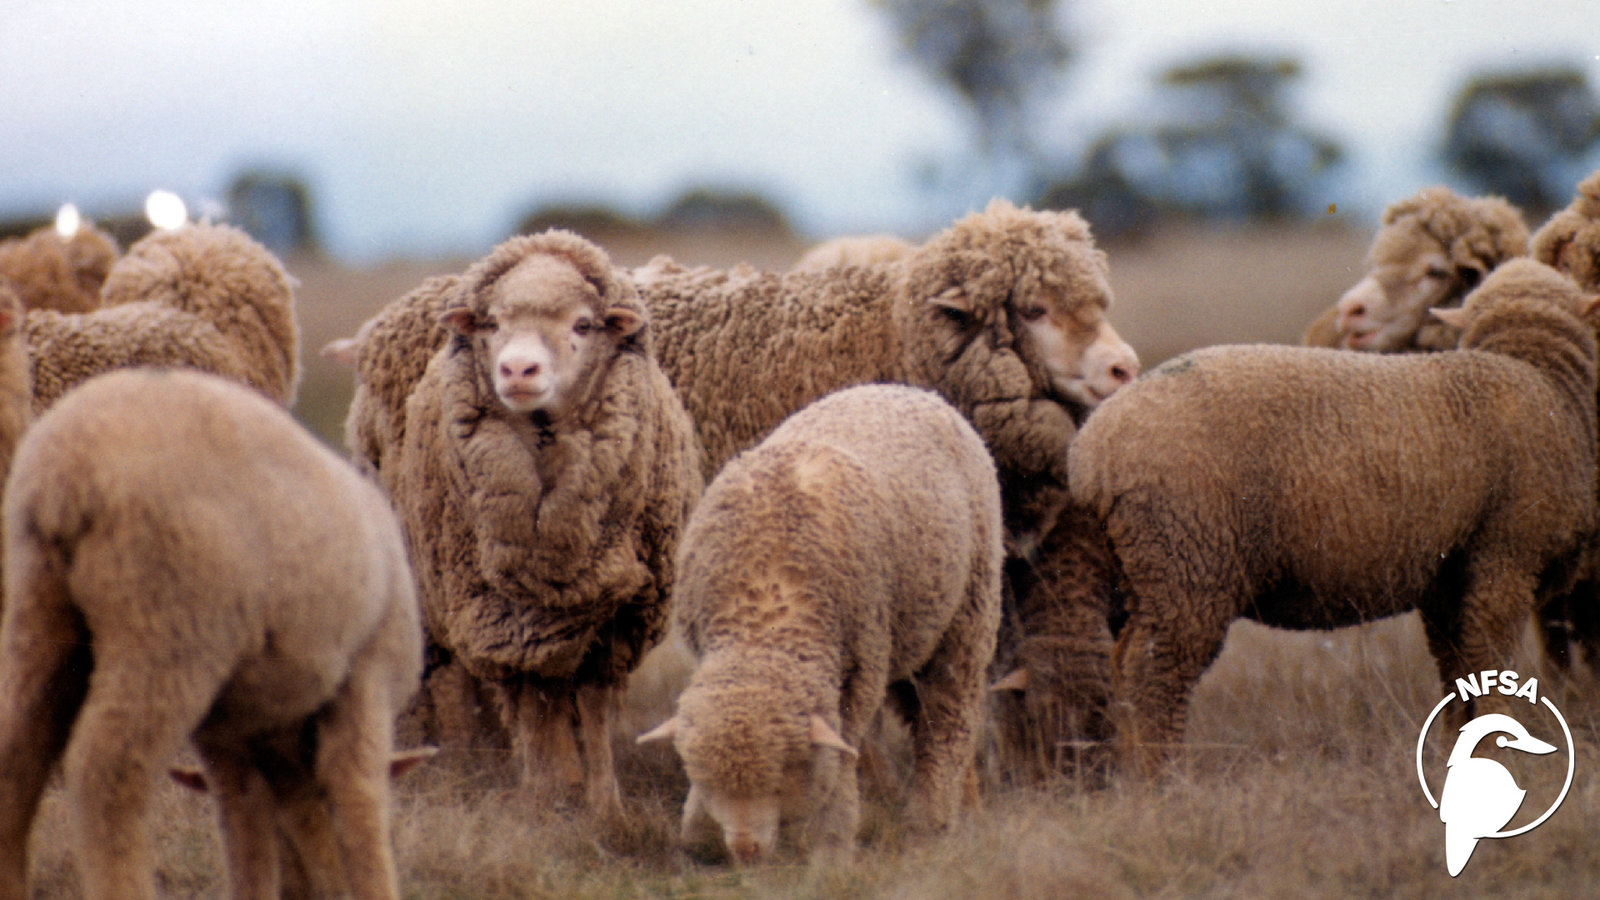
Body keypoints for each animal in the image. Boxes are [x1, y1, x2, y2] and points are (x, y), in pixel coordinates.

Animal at [0, 368, 422, 900]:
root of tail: (67, 474)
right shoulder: (368, 675)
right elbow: (357, 797)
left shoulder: (235, 729)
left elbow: (246, 825)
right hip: (170, 625)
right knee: (107, 774)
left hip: (40, 608)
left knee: (15, 757)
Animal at [389, 230, 702, 817]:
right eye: (492, 324)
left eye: (582, 325)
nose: (517, 370)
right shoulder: (497, 617)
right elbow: (530, 707)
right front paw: (539, 800)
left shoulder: (612, 615)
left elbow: (594, 706)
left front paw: (605, 804)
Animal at [637, 384, 1003, 864]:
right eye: (708, 782)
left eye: (780, 779)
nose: (746, 851)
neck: (764, 616)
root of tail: (906, 389)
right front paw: (697, 829)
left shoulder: (862, 662)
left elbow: (843, 752)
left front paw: (833, 842)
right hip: (915, 625)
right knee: (925, 716)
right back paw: (968, 805)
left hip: (968, 611)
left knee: (950, 716)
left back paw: (932, 822)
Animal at [1070, 258, 1598, 776]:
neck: (1544, 384)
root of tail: (1092, 454)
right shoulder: (1505, 556)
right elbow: (1488, 660)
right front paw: (1494, 752)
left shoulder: (1449, 577)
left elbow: (1456, 669)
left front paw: (1454, 749)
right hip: (1188, 561)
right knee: (1155, 673)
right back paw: (1162, 779)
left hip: (1141, 569)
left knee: (1122, 666)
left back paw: (1130, 772)